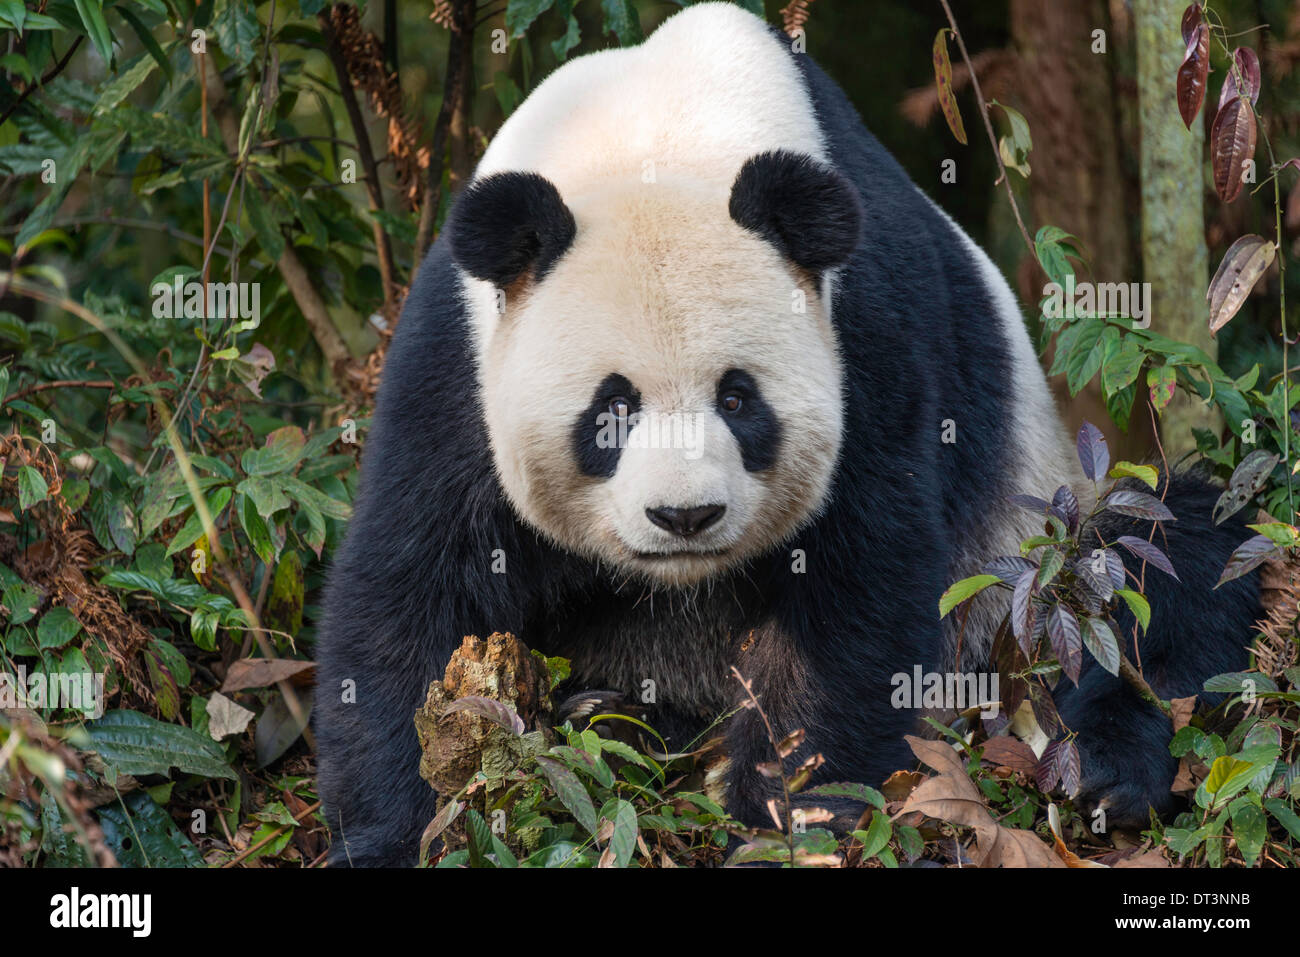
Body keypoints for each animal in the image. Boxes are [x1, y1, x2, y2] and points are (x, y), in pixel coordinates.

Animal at [315, 3, 1261, 866]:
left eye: (739, 400)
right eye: (610, 410)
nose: (685, 517)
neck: (657, 136)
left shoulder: (865, 328)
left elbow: (854, 578)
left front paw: (790, 817)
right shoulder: (458, 355)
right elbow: (411, 582)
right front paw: (396, 829)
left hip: (1025, 570)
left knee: (1158, 558)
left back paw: (1104, 770)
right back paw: (621, 715)